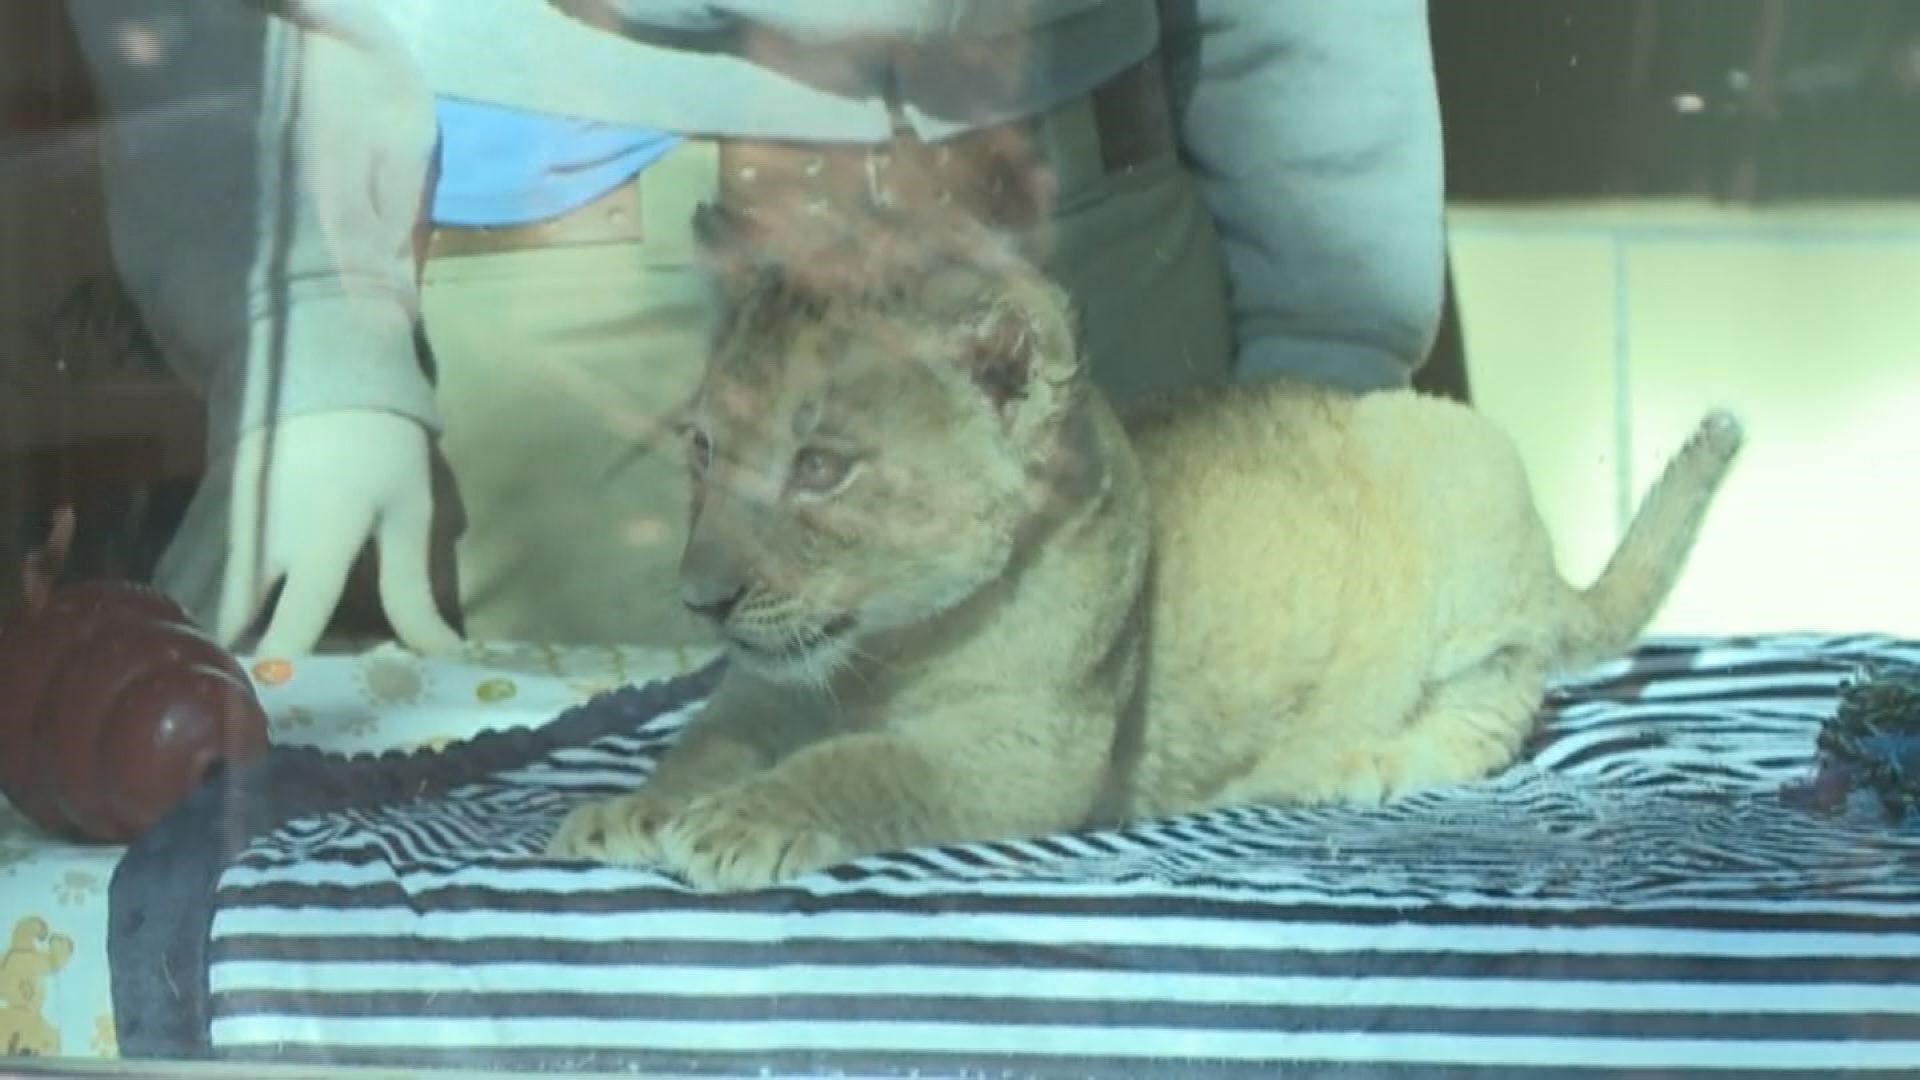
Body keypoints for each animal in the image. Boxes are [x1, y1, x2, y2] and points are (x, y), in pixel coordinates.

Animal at [547, 202, 1744, 893]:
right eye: (703, 448)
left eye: (820, 467)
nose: (697, 600)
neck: (879, 653)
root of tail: (1552, 571)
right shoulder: (762, 695)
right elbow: (703, 742)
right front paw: (631, 810)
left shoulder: (1030, 751)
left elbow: (866, 765)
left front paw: (738, 824)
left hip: (1462, 465)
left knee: (1490, 713)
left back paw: (1344, 768)